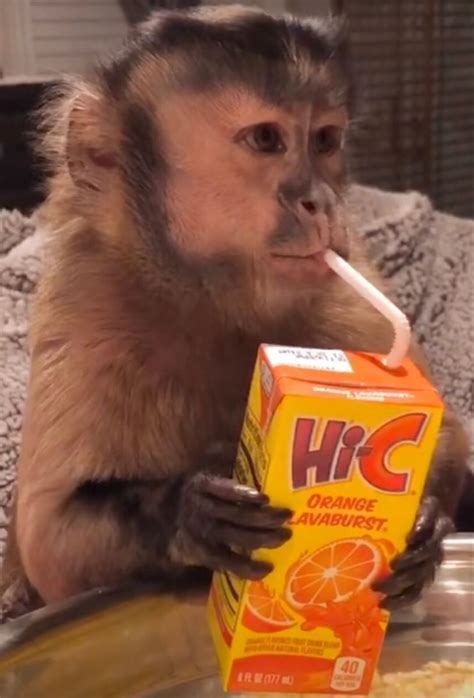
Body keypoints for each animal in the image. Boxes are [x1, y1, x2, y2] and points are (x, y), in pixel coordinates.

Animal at [1, 4, 469, 621]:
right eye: (267, 138)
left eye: (325, 140)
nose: (323, 202)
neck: (211, 293)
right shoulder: (85, 307)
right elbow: (50, 538)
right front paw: (193, 513)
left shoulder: (350, 284)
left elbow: (452, 440)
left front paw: (425, 525)